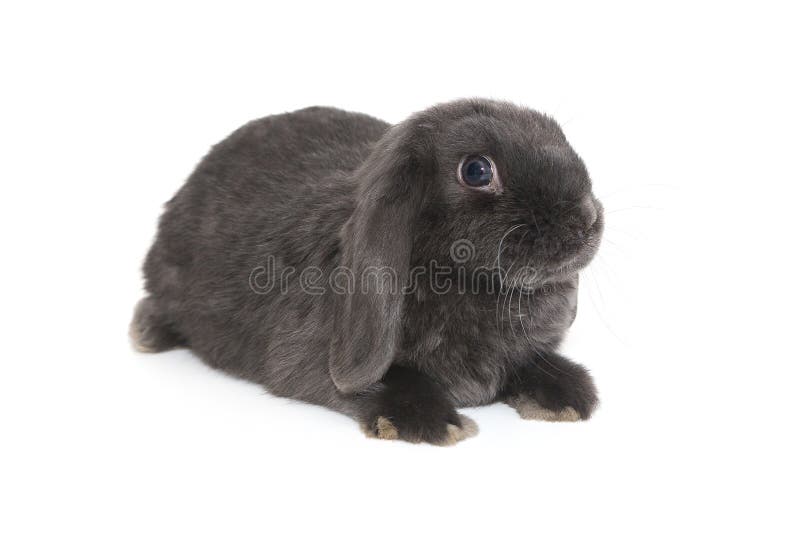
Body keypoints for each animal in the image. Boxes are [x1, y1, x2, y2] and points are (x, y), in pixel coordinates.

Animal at [131, 99, 603, 445]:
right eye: (476, 170)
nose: (585, 219)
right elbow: (378, 380)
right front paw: (431, 423)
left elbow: (532, 363)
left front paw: (569, 396)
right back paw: (148, 334)